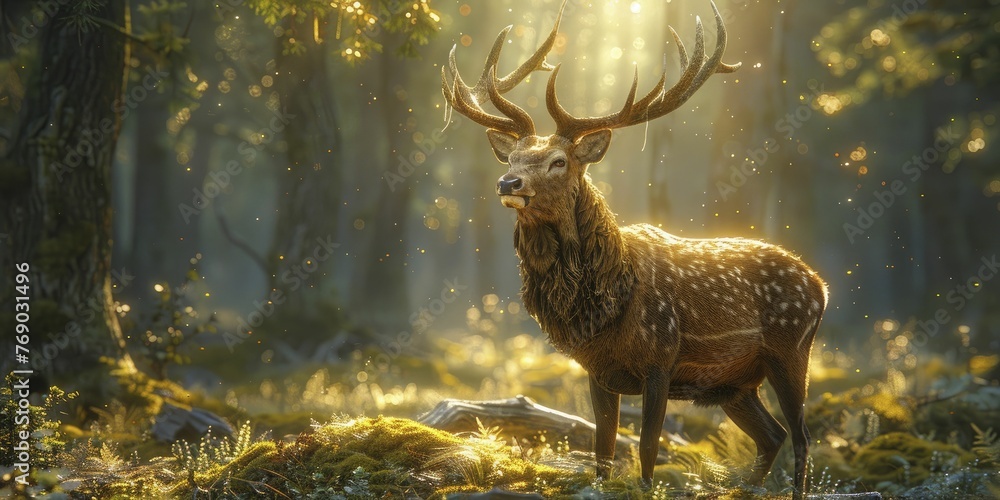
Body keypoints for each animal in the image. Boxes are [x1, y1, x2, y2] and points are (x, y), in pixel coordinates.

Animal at [441, 2, 828, 497]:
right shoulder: (596, 369)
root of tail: (821, 286)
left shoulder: (661, 358)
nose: (508, 183)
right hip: (734, 384)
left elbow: (646, 448)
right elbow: (603, 450)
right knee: (772, 435)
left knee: (801, 436)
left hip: (792, 349)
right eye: (512, 158)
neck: (607, 297)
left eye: (558, 161)